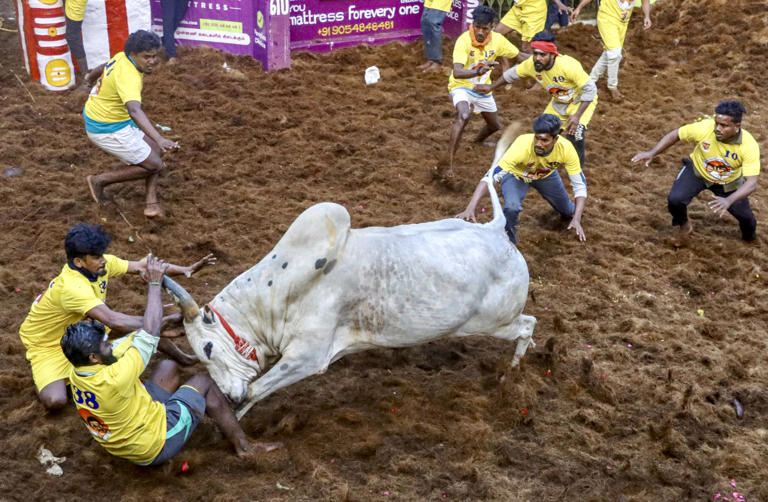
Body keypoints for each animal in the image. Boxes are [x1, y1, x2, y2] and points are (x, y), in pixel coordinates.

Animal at [163, 126, 536, 420]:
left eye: (208, 348)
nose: (227, 394)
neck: (278, 290)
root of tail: (494, 230)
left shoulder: (307, 356)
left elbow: (256, 390)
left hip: (493, 322)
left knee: (528, 325)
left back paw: (512, 375)